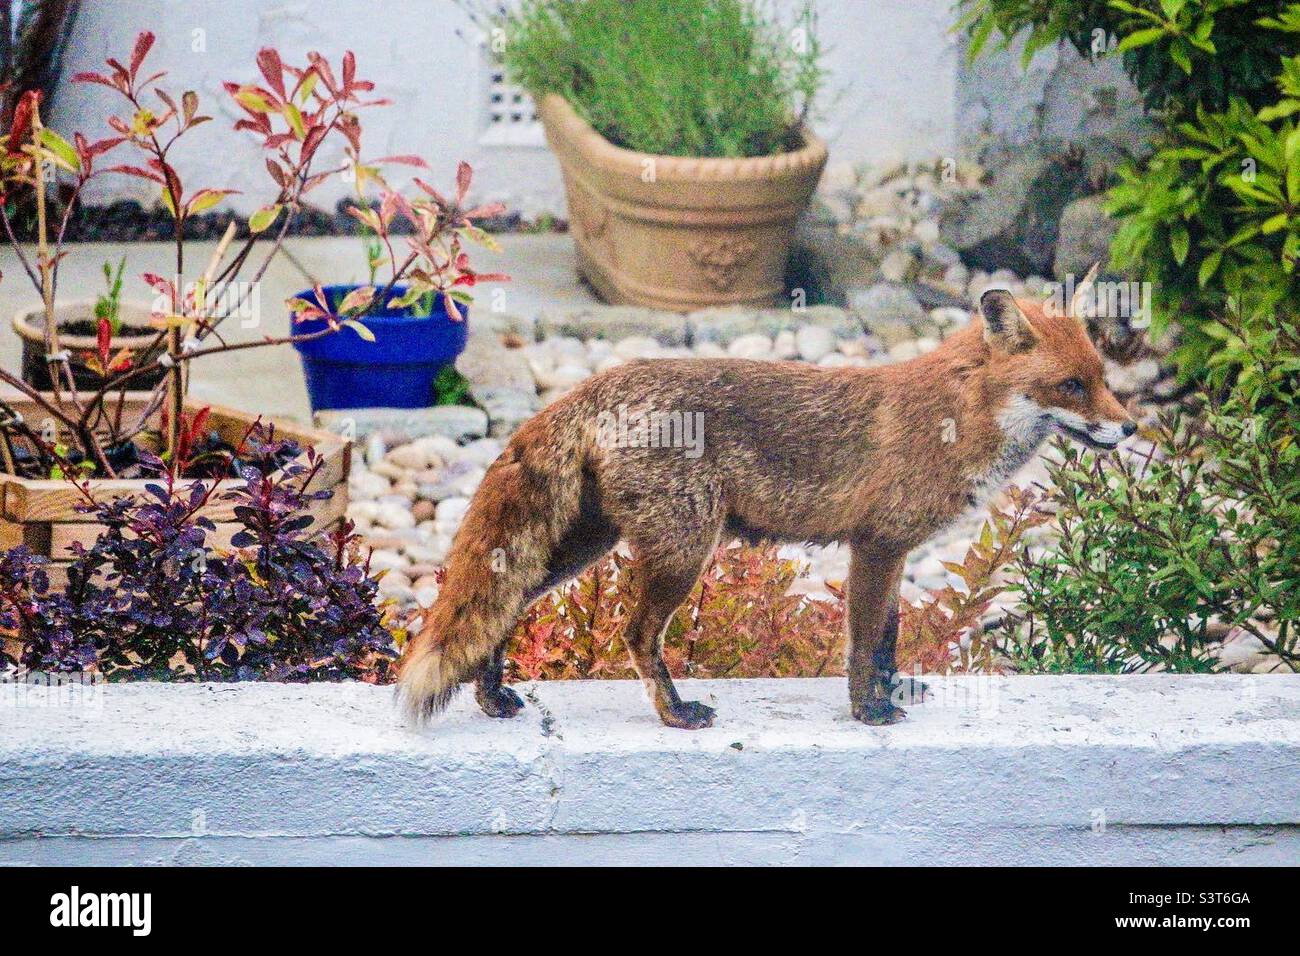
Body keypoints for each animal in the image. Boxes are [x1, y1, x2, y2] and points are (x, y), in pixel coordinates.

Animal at [398, 274, 1136, 729]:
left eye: (1103, 379)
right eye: (1071, 386)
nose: (1129, 428)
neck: (957, 417)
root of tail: (598, 381)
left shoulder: (896, 550)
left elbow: (889, 639)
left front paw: (892, 691)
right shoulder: (876, 545)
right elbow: (864, 644)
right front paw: (867, 713)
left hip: (586, 544)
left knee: (508, 604)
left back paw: (492, 697)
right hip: (681, 552)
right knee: (633, 635)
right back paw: (675, 714)